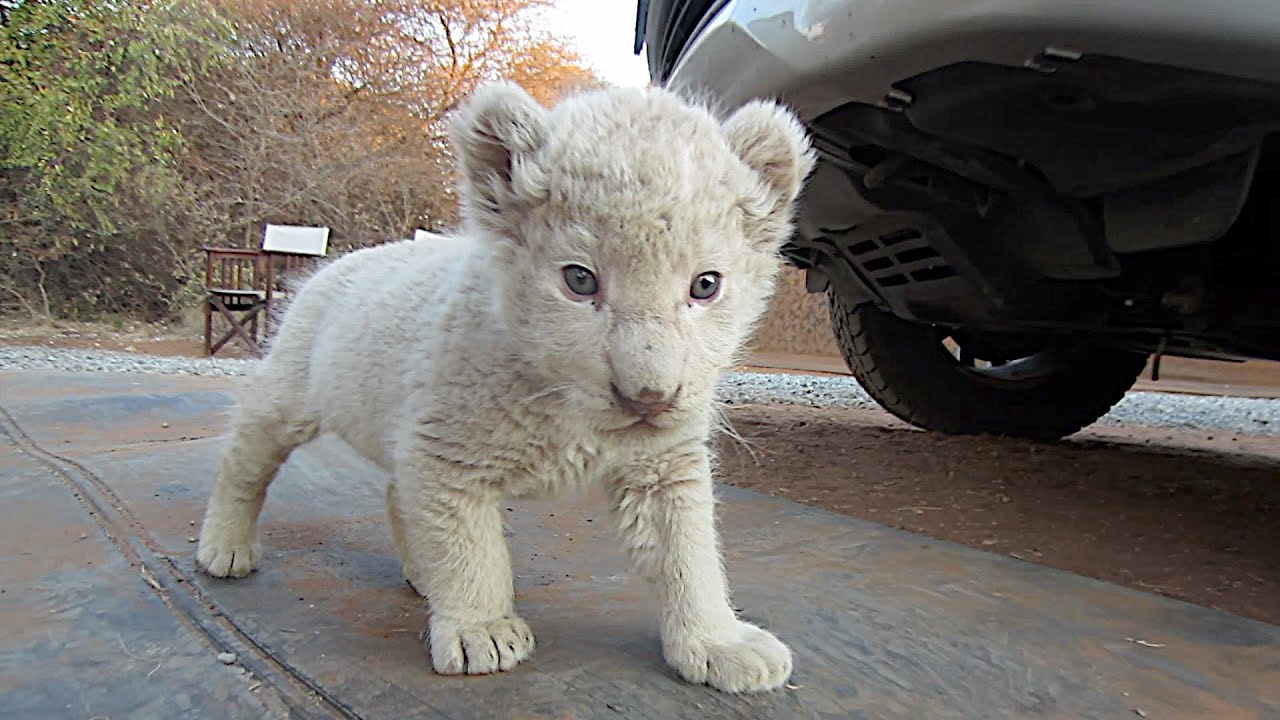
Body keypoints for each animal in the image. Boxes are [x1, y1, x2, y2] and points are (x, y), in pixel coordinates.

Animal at [196, 81, 815, 693]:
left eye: (705, 285)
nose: (649, 397)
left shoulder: (663, 463)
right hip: (290, 387)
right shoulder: (447, 452)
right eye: (579, 279)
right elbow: (469, 549)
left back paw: (421, 576)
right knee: (245, 455)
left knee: (397, 492)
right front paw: (482, 631)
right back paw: (226, 546)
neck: (563, 402)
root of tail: (332, 266)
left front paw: (719, 644)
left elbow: (687, 552)